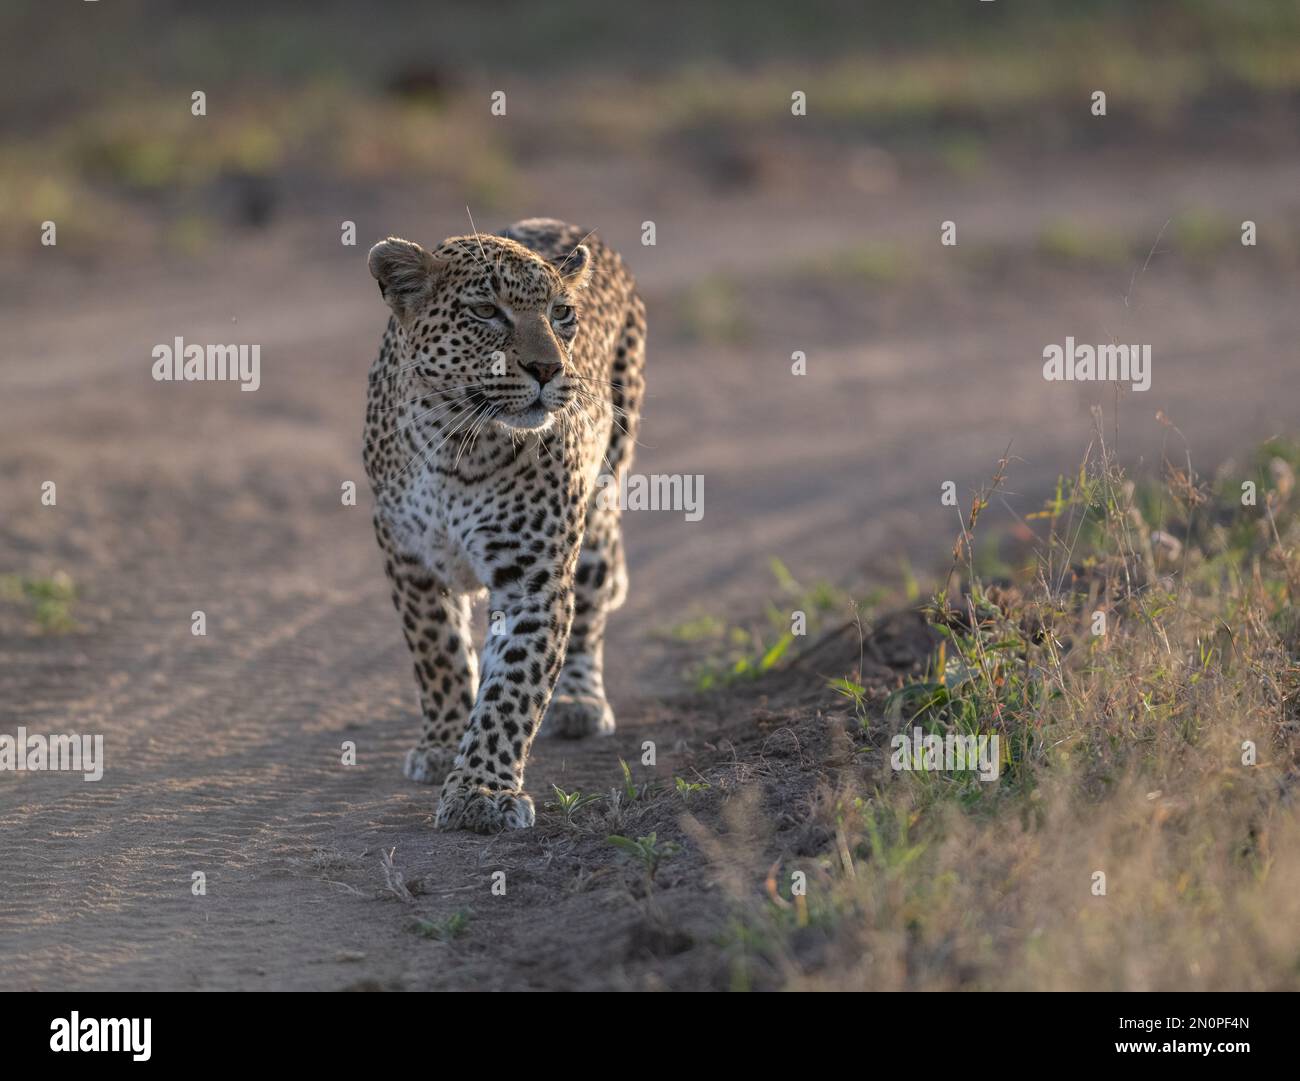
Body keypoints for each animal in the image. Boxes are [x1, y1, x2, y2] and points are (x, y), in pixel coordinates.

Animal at [363, 218, 646, 834]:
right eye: (487, 312)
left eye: (561, 313)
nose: (548, 369)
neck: (457, 445)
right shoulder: (407, 557)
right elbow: (438, 653)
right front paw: (444, 744)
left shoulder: (532, 578)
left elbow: (512, 688)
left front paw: (481, 791)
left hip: (603, 489)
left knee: (591, 605)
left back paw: (580, 703)